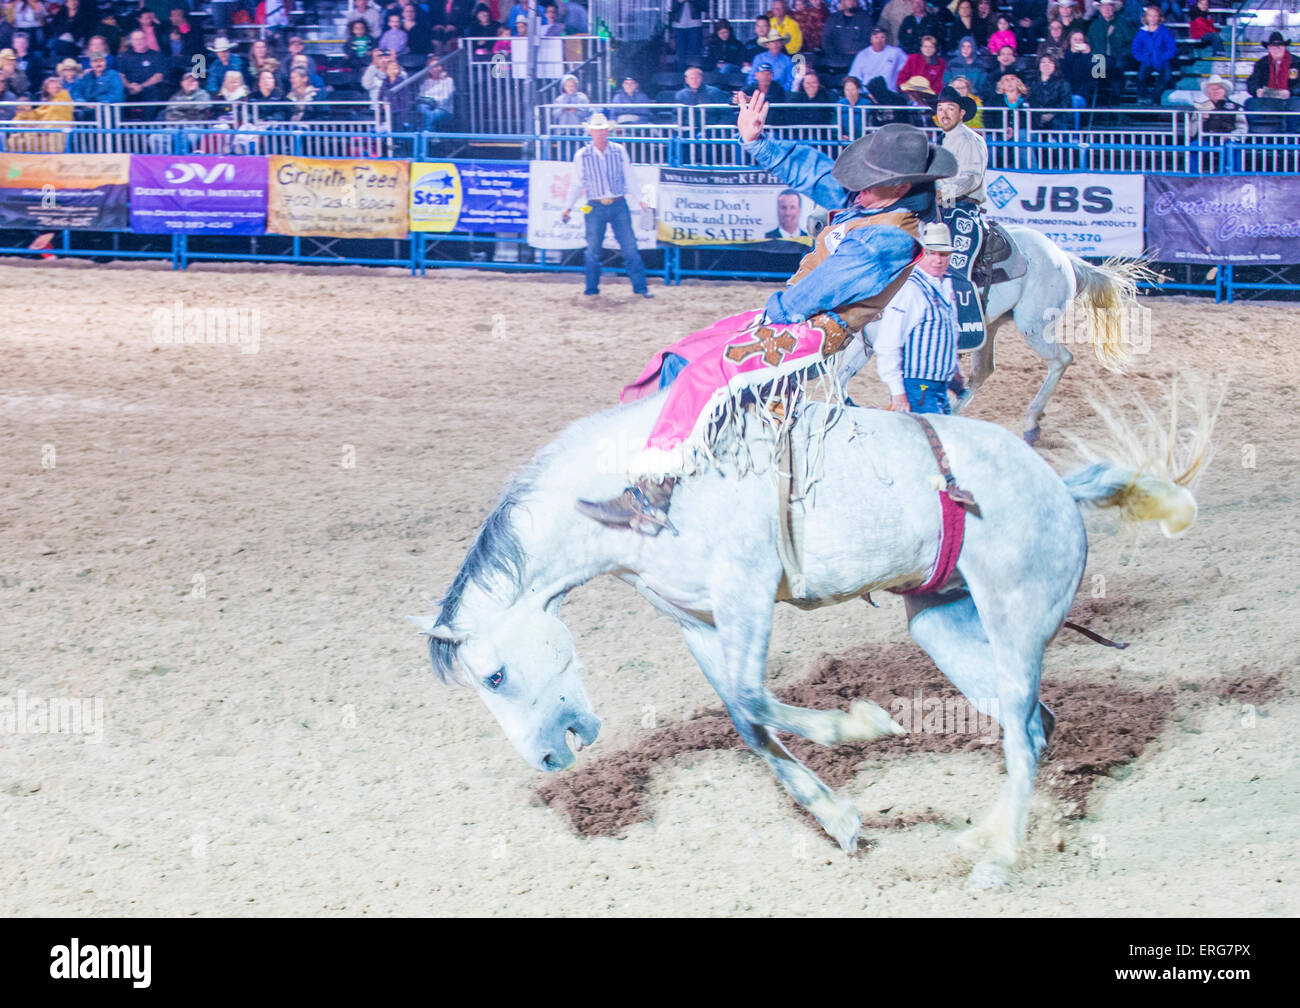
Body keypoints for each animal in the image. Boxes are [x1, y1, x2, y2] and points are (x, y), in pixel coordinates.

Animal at [411, 388, 1210, 888]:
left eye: (494, 676)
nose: (546, 758)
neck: (634, 489)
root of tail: (1058, 488)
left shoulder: (746, 588)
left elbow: (753, 696)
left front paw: (860, 726)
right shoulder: (699, 621)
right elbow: (745, 719)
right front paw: (840, 818)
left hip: (1015, 618)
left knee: (1021, 731)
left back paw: (999, 859)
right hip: (945, 626)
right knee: (1035, 725)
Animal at [835, 224, 1153, 443]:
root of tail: (1062, 256)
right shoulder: (866, 341)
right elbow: (842, 378)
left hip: (1034, 326)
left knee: (1061, 360)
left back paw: (1031, 422)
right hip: (992, 326)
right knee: (983, 372)